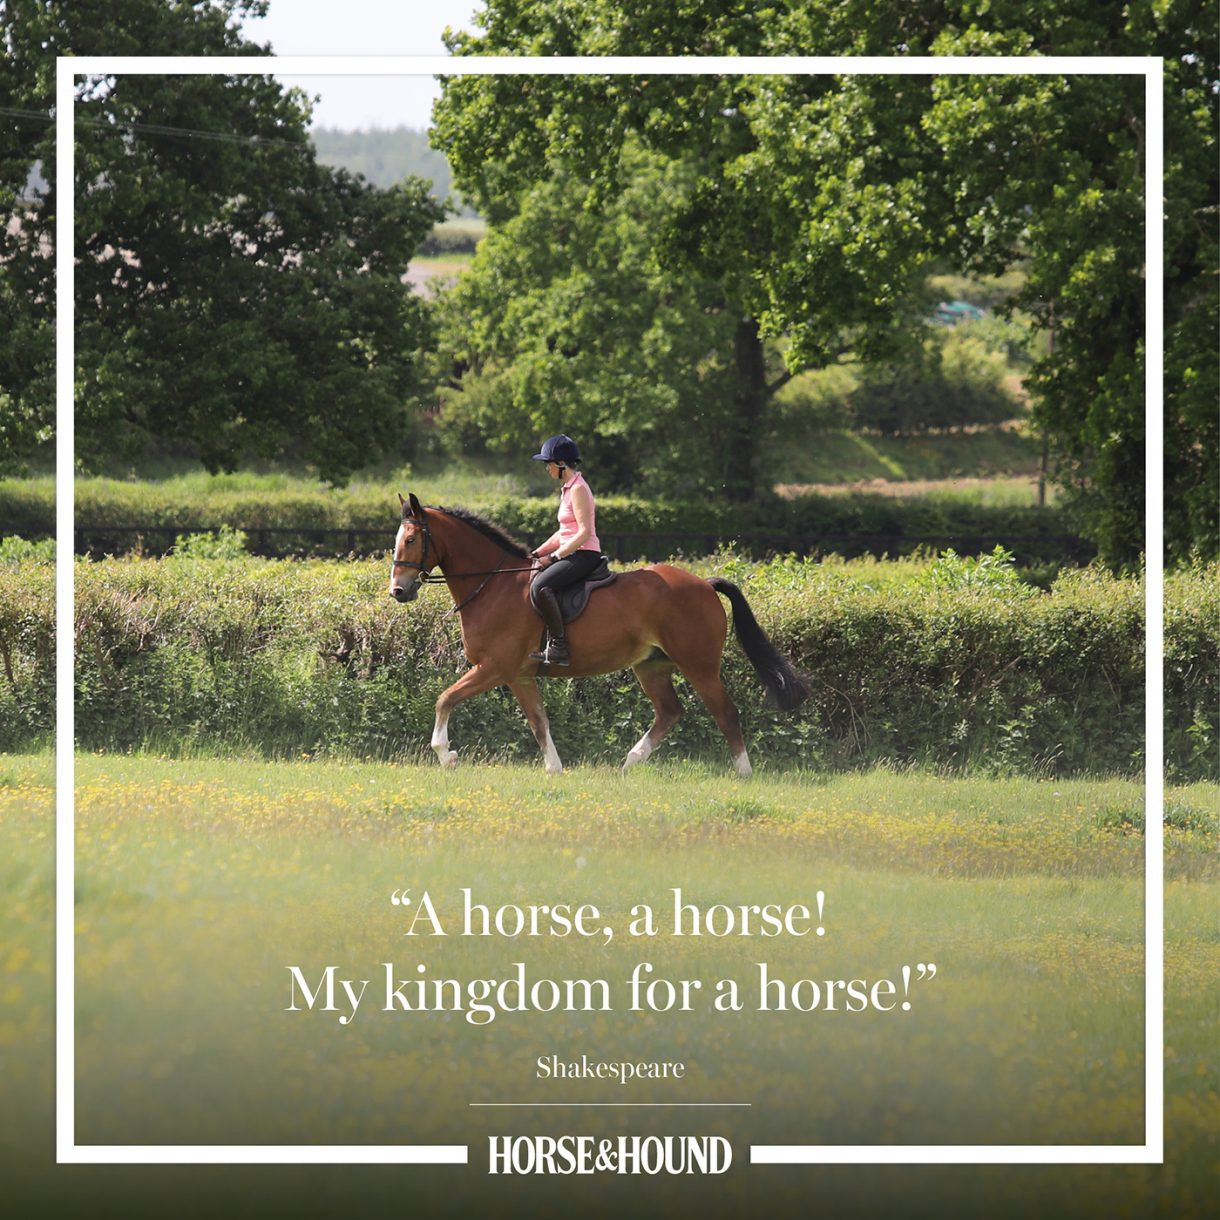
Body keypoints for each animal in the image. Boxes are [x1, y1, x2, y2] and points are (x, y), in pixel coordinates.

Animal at [389, 492, 809, 776]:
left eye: (410, 540)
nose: (398, 591)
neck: (493, 584)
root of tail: (704, 584)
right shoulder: (520, 675)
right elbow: (539, 721)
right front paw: (555, 769)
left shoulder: (495, 668)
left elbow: (444, 699)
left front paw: (446, 754)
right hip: (652, 666)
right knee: (670, 711)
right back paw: (630, 762)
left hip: (699, 665)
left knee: (726, 712)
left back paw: (743, 772)